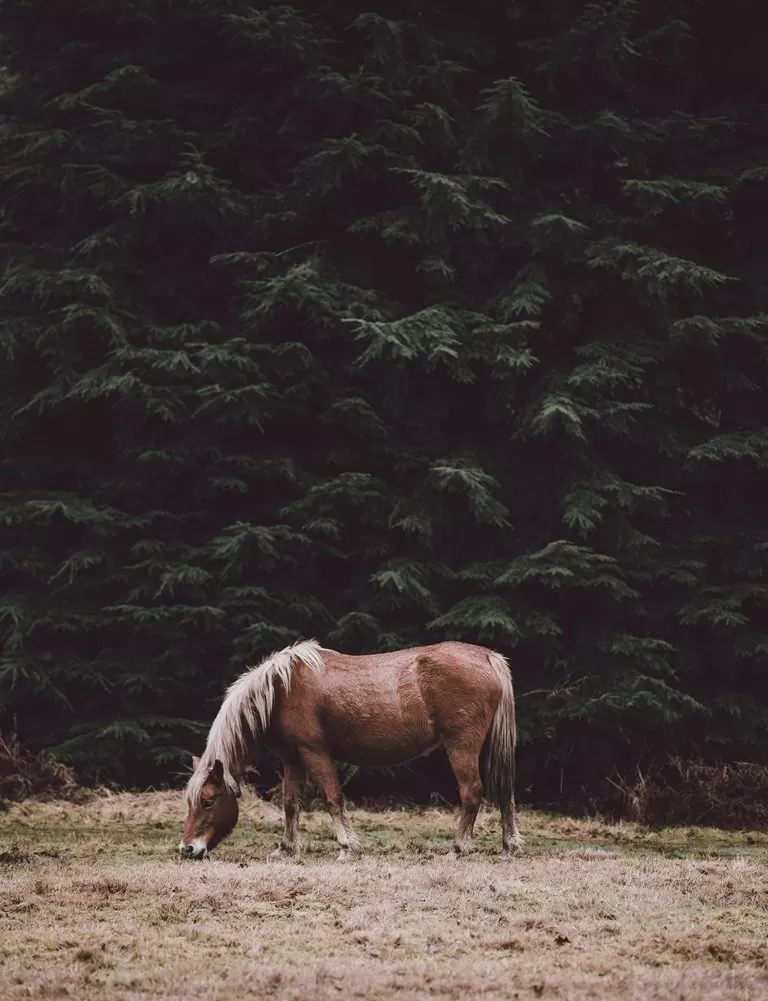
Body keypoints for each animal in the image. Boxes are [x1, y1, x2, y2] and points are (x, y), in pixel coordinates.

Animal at [180, 640, 520, 860]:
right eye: (189, 801)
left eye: (208, 801)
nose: (187, 849)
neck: (281, 690)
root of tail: (487, 657)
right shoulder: (292, 759)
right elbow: (290, 804)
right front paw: (286, 848)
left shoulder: (315, 753)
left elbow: (332, 798)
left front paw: (346, 847)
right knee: (505, 792)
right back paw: (509, 846)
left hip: (461, 745)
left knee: (471, 793)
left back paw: (457, 849)